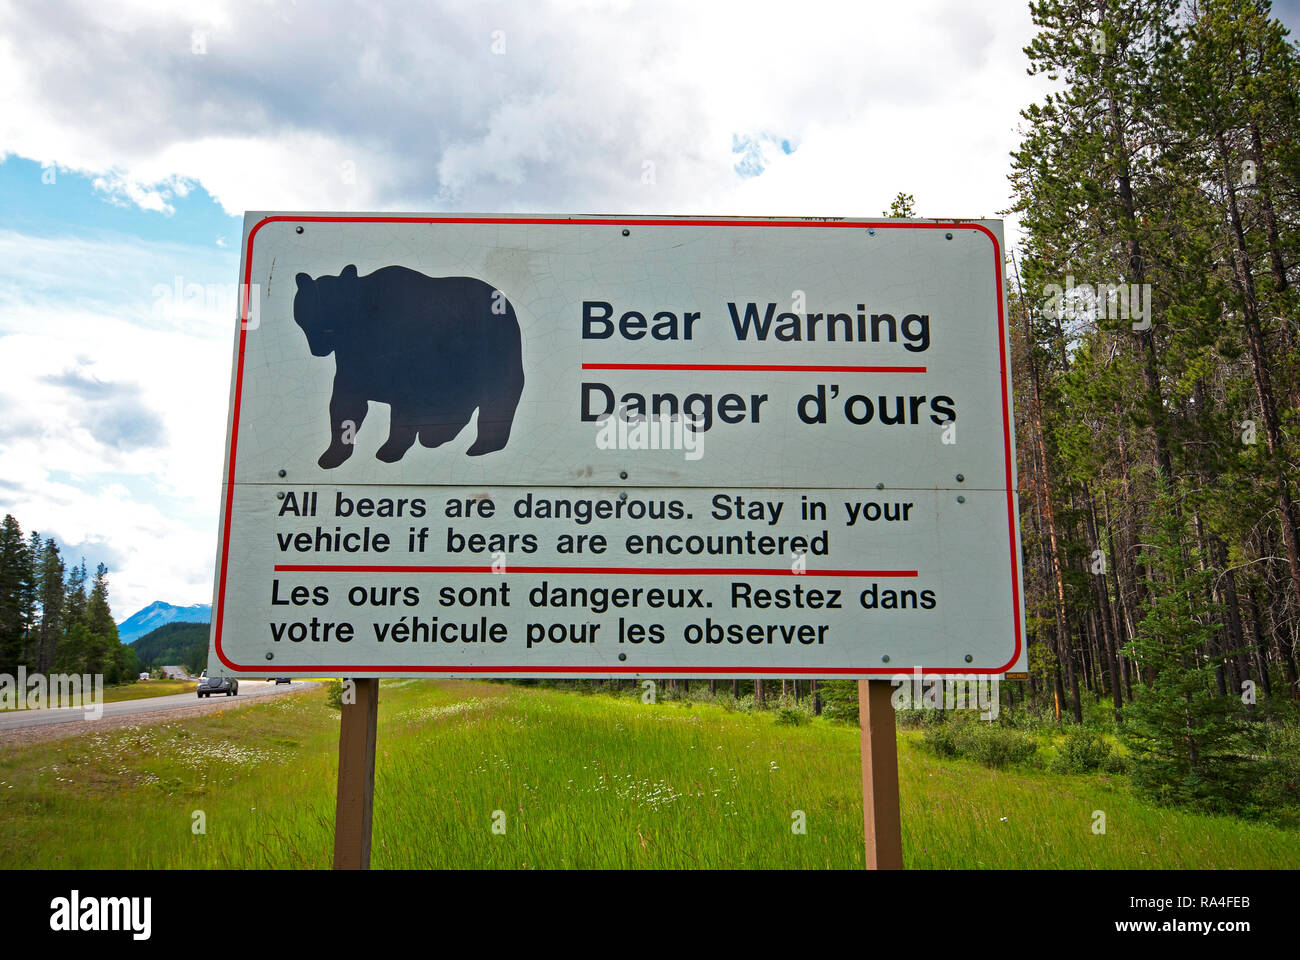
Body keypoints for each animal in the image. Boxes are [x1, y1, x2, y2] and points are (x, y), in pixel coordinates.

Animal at [292, 264, 525, 468]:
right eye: (305, 314)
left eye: (333, 310)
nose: (318, 348)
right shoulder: (352, 368)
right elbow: (345, 408)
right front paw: (331, 456)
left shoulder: (406, 368)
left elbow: (402, 411)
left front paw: (390, 450)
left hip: (492, 354)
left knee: (497, 397)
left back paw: (481, 445)